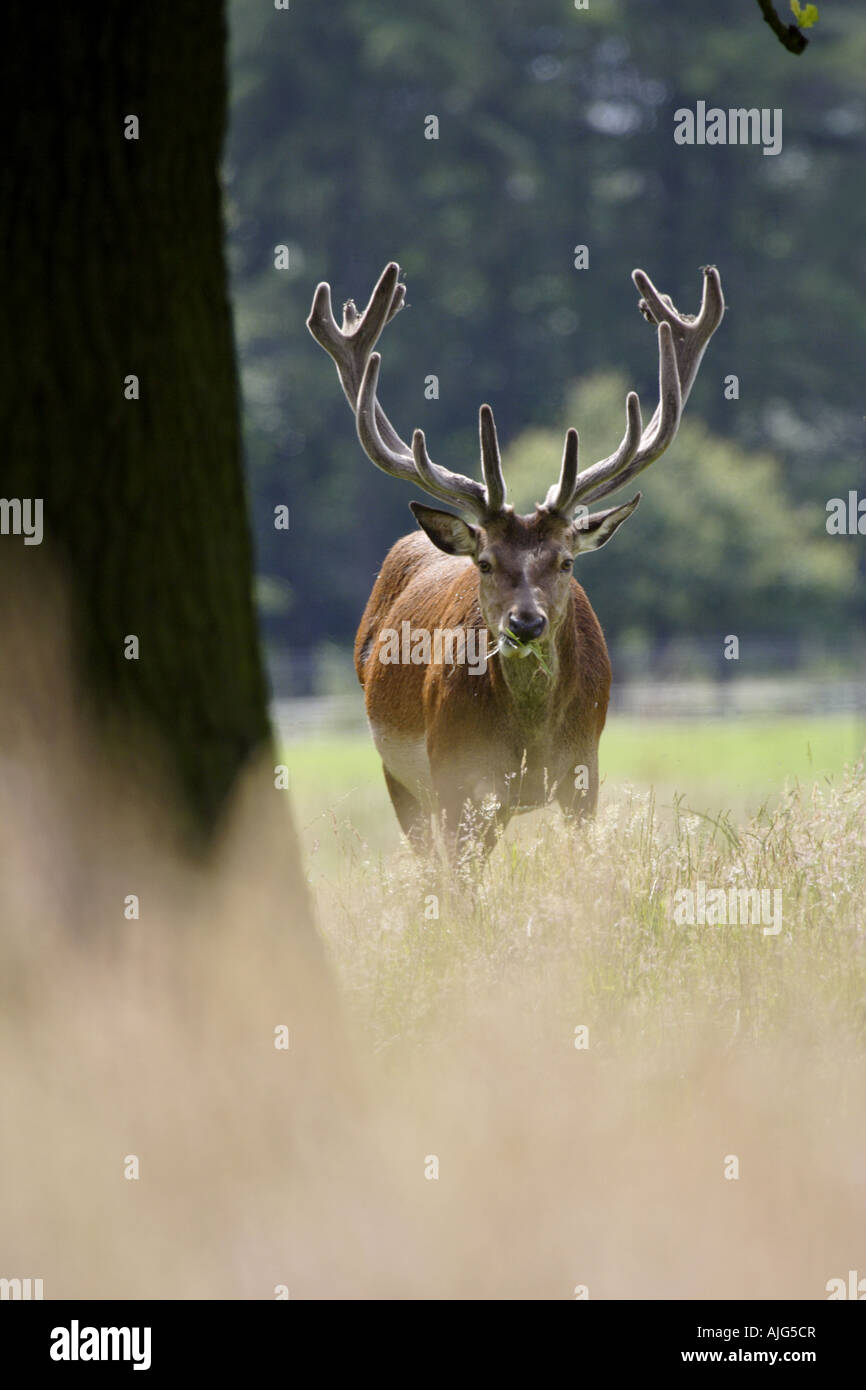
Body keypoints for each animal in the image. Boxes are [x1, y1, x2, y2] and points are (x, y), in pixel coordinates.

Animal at [307, 262, 724, 856]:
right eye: (484, 563)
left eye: (566, 562)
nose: (525, 624)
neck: (532, 738)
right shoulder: (453, 775)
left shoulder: (584, 775)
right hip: (400, 773)